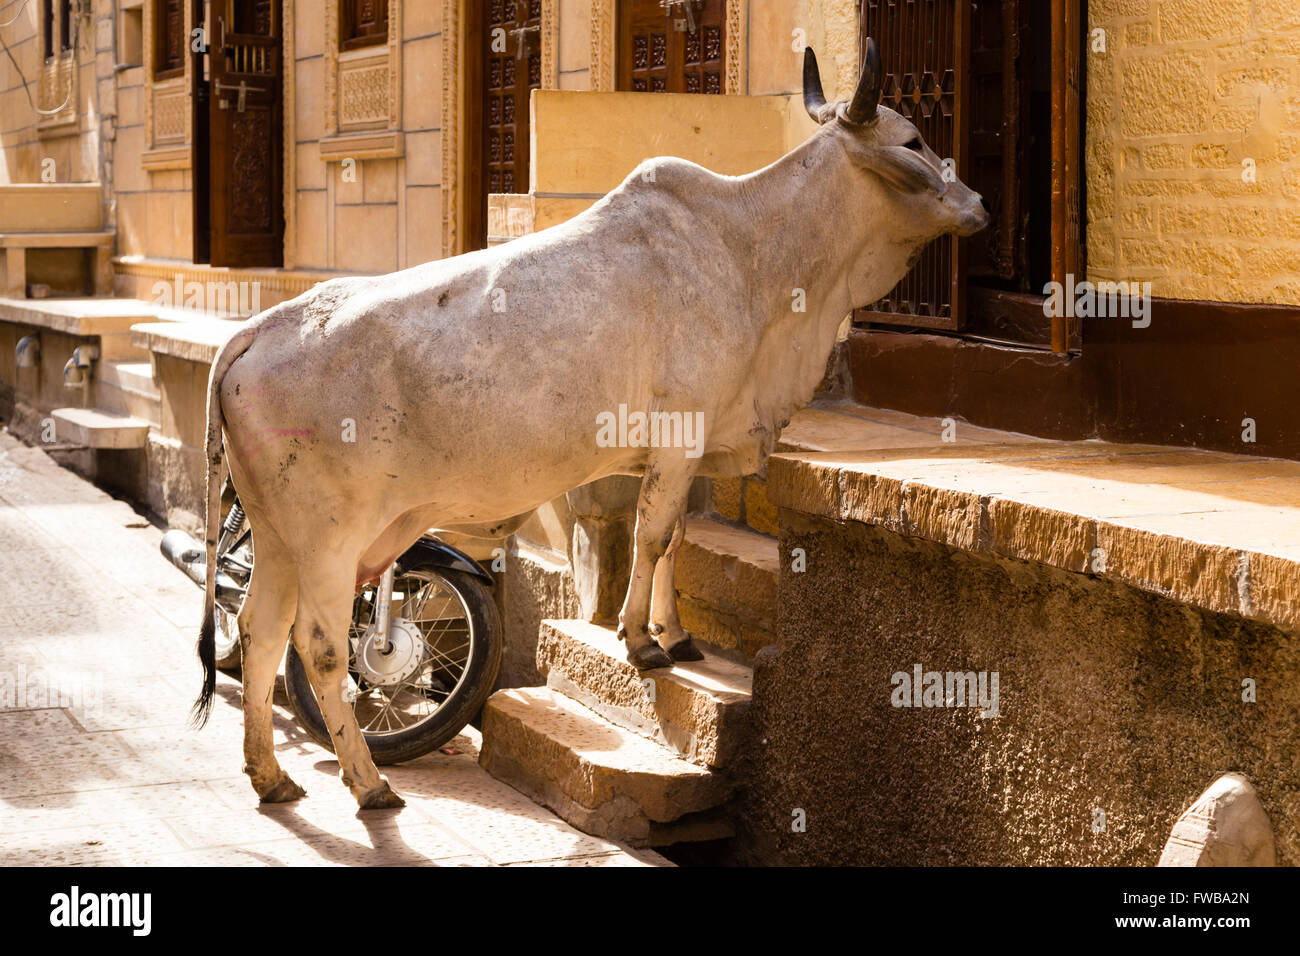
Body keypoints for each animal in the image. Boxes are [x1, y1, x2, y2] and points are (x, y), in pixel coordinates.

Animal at [192, 40, 989, 809]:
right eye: (914, 139)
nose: (979, 203)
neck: (751, 250)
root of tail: (257, 329)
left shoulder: (685, 449)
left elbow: (678, 541)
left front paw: (677, 634)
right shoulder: (679, 439)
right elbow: (655, 537)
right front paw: (641, 641)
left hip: (279, 537)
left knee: (259, 633)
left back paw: (271, 775)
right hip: (331, 541)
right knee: (321, 646)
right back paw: (369, 783)